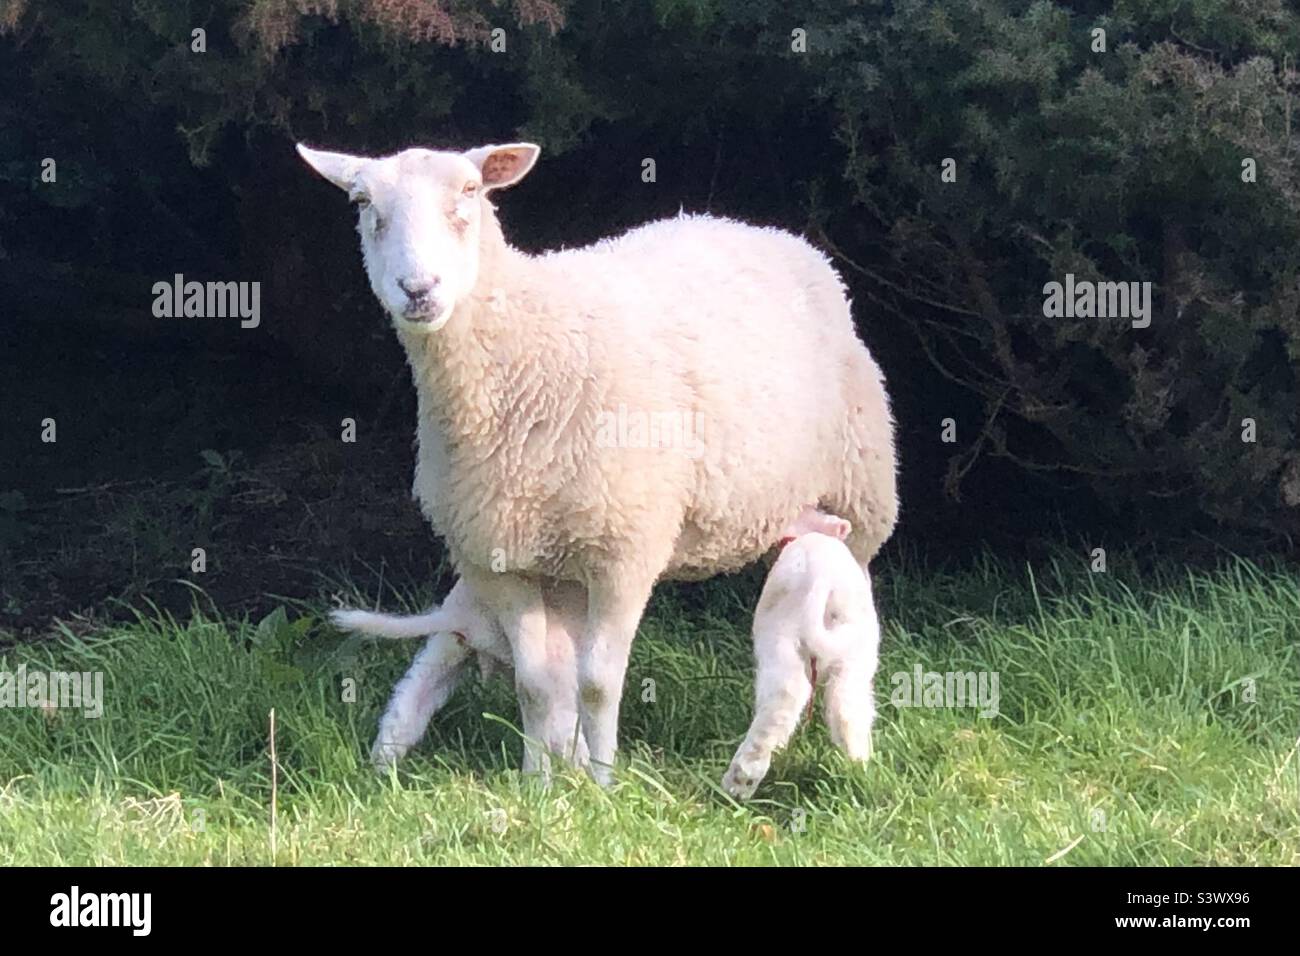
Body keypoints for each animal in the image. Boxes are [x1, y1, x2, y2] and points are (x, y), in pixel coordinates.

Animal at [331, 579, 589, 771]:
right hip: (552, 664)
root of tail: (466, 613)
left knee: (404, 708)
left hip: (445, 651)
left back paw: (380, 769)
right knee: (564, 729)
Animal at [722, 510, 880, 800]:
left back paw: (739, 783)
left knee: (784, 698)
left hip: (779, 641)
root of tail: (825, 579)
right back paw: (857, 769)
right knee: (847, 708)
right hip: (857, 654)